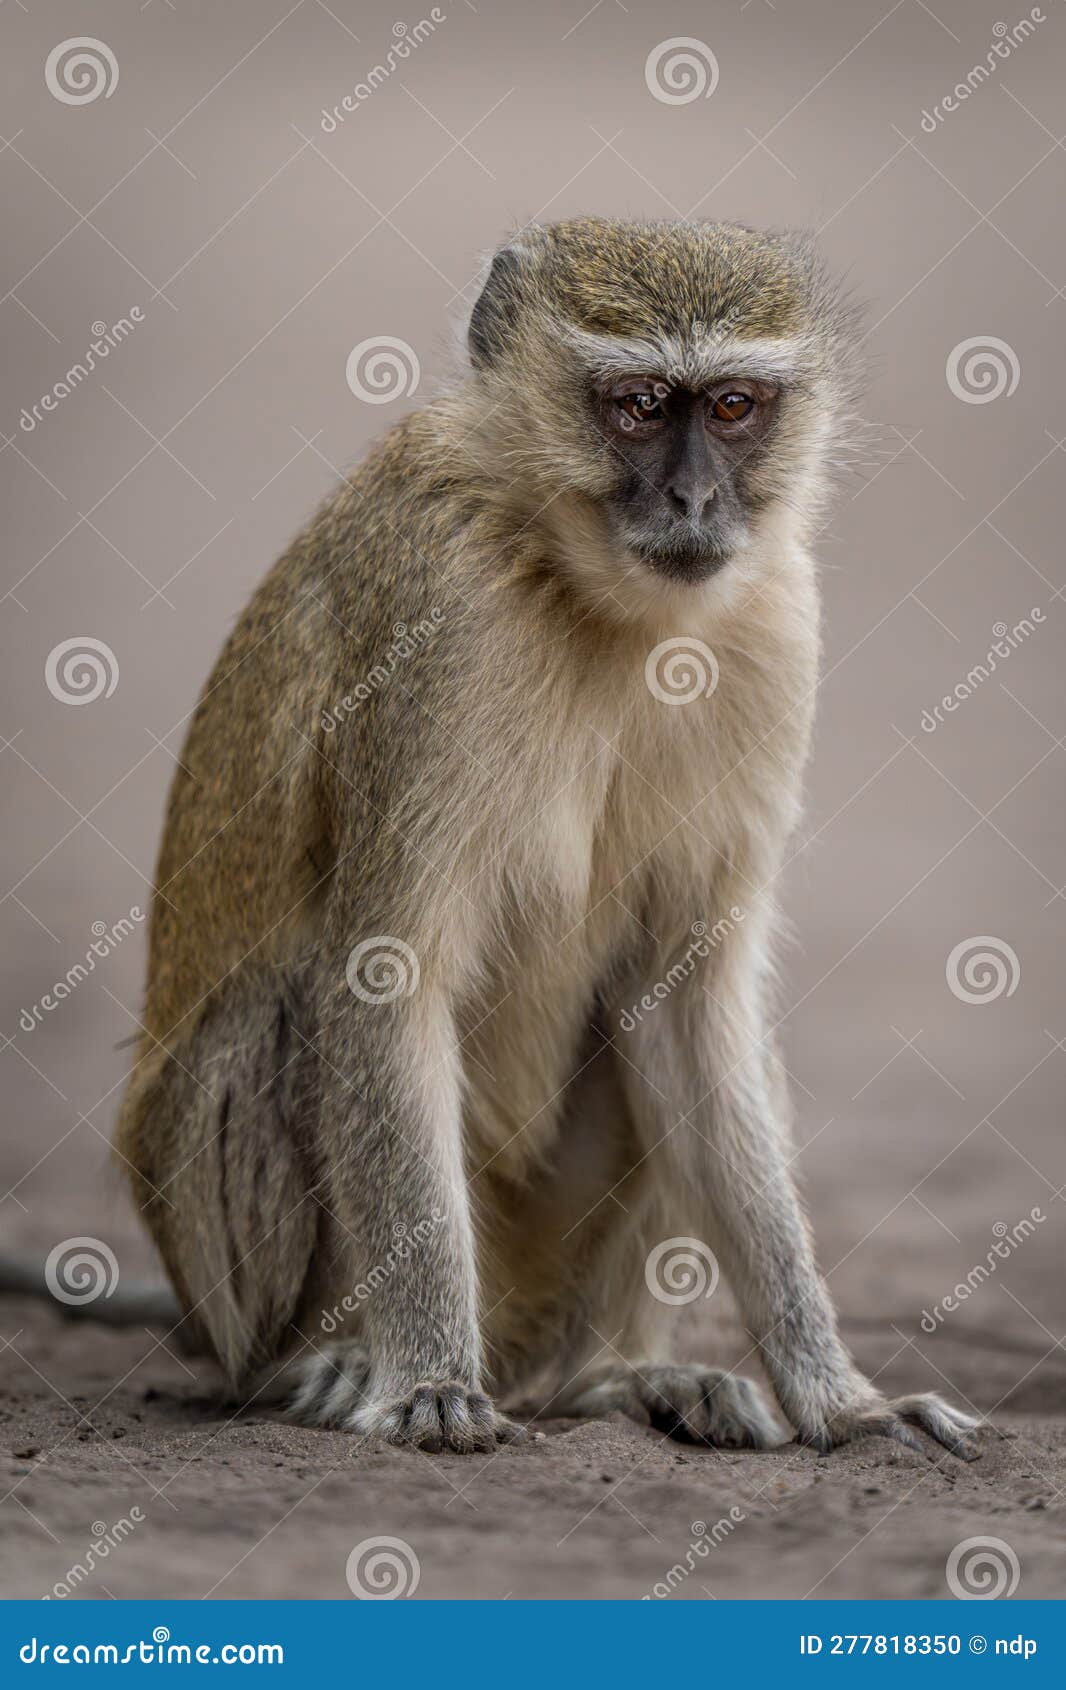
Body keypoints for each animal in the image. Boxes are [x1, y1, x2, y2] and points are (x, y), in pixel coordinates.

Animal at [103, 217, 982, 1457]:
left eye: (730, 408)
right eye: (636, 404)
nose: (694, 503)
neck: (590, 594)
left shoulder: (777, 620)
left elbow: (687, 999)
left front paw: (841, 1399)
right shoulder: (439, 611)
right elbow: (381, 975)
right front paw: (425, 1379)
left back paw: (613, 1378)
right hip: (231, 1257)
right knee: (286, 1006)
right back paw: (326, 1363)